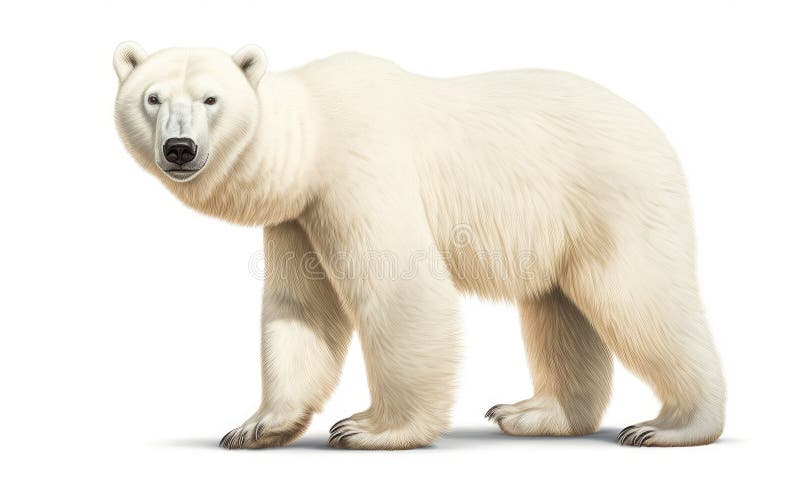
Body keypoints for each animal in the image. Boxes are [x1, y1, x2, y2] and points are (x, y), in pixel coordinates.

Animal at [113, 42, 725, 449]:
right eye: (152, 98)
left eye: (211, 99)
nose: (180, 148)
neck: (312, 135)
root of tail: (655, 131)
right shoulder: (300, 214)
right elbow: (300, 308)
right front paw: (258, 424)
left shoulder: (358, 170)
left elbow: (399, 287)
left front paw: (368, 427)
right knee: (557, 308)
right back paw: (535, 413)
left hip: (612, 199)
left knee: (637, 299)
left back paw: (670, 425)